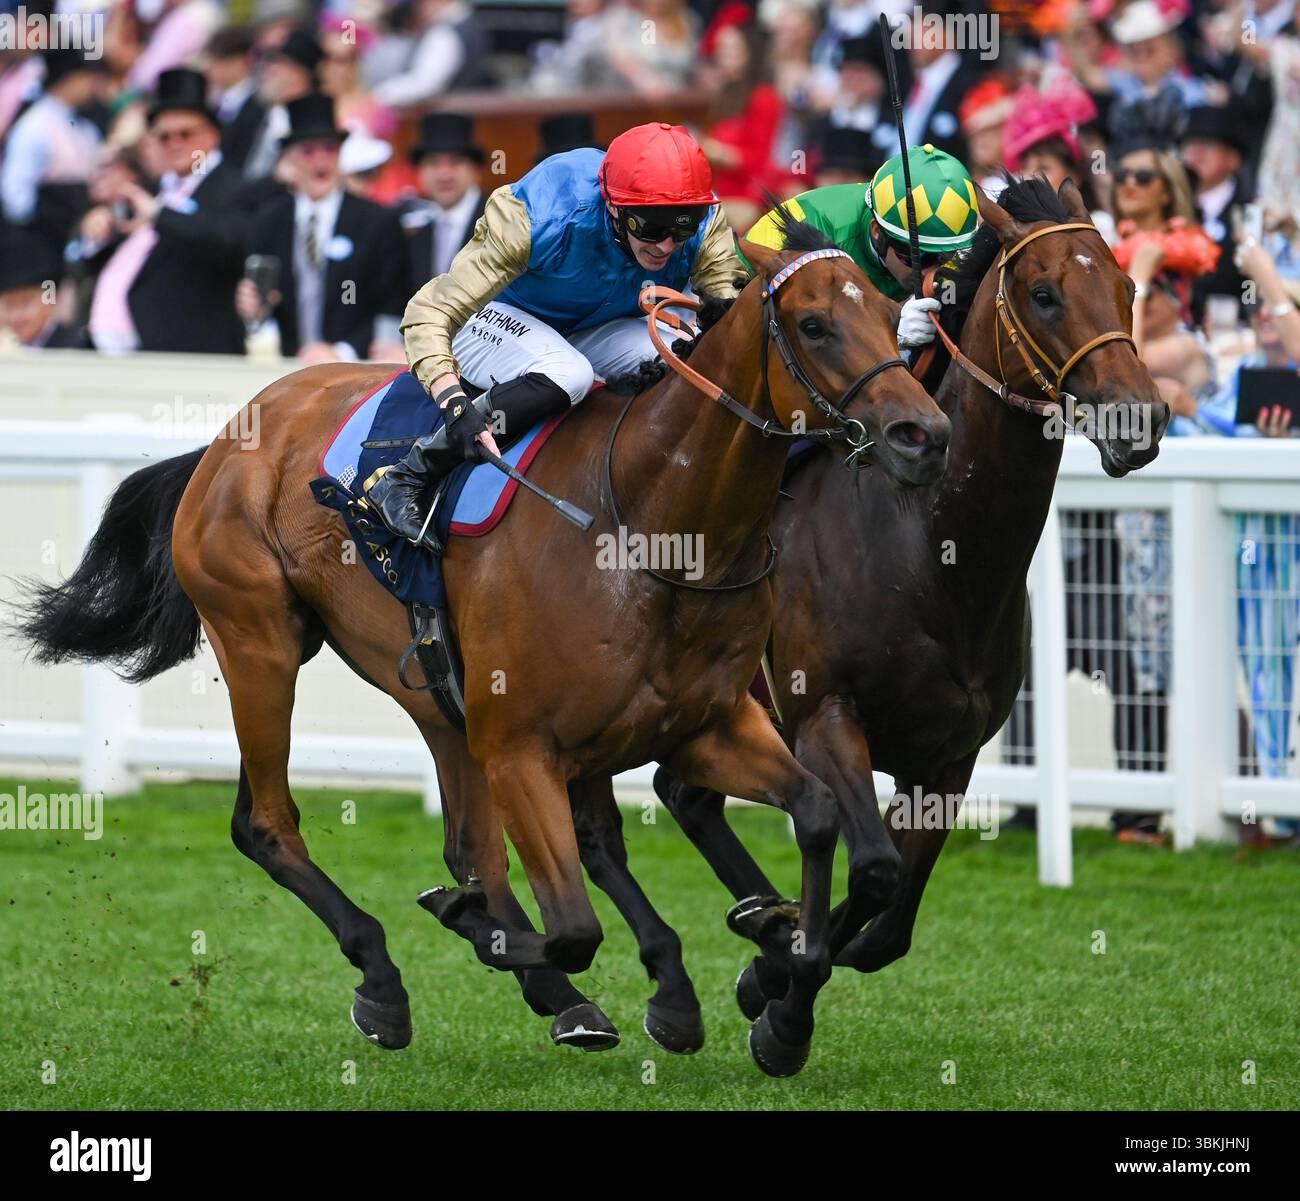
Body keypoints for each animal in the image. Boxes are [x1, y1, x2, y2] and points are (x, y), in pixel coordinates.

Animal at [19, 230, 951, 1077]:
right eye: (815, 324)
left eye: (887, 311)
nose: (924, 433)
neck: (654, 524)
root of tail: (228, 434)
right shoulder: (523, 745)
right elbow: (572, 926)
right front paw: (489, 932)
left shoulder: (704, 726)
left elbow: (818, 811)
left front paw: (782, 988)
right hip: (261, 641)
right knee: (268, 823)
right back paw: (387, 976)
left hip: (433, 694)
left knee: (469, 844)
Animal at [477, 176, 1171, 1041]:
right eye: (1044, 294)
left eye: (1127, 287)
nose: (1139, 418)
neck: (925, 546)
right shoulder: (824, 716)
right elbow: (872, 870)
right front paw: (775, 999)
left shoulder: (951, 756)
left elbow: (890, 924)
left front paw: (776, 966)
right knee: (608, 825)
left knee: (682, 796)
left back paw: (748, 919)